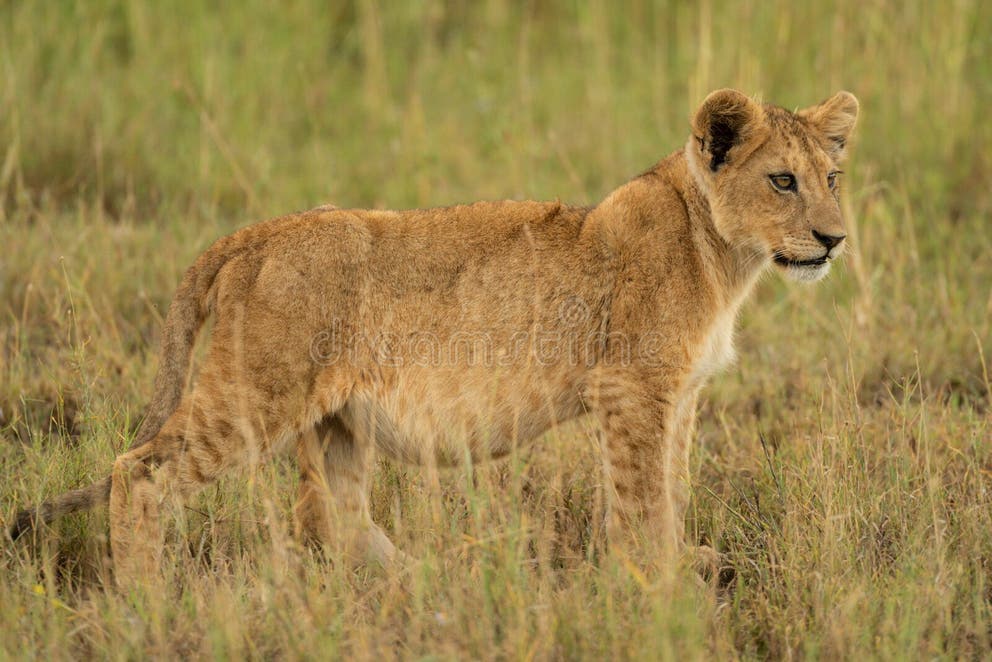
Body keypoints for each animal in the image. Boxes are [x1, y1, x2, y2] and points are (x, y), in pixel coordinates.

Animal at [9, 89, 858, 587]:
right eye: (782, 181)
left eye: (831, 178)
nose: (834, 239)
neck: (723, 254)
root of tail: (262, 232)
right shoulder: (631, 389)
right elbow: (643, 495)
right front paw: (657, 585)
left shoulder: (677, 396)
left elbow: (671, 486)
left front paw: (682, 565)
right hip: (254, 396)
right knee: (137, 474)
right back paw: (143, 603)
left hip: (336, 422)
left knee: (336, 520)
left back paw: (427, 582)